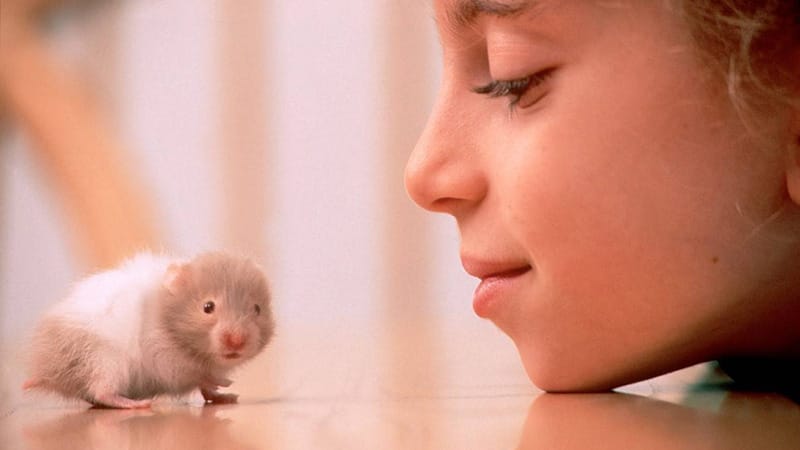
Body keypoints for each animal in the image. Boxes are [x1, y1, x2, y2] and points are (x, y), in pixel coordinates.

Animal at [23, 251, 275, 409]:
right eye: (208, 307)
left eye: (257, 309)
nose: (237, 341)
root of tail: (47, 371)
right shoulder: (166, 361)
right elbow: (199, 375)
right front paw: (226, 383)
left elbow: (204, 387)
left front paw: (229, 395)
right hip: (106, 362)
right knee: (102, 391)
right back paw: (138, 404)